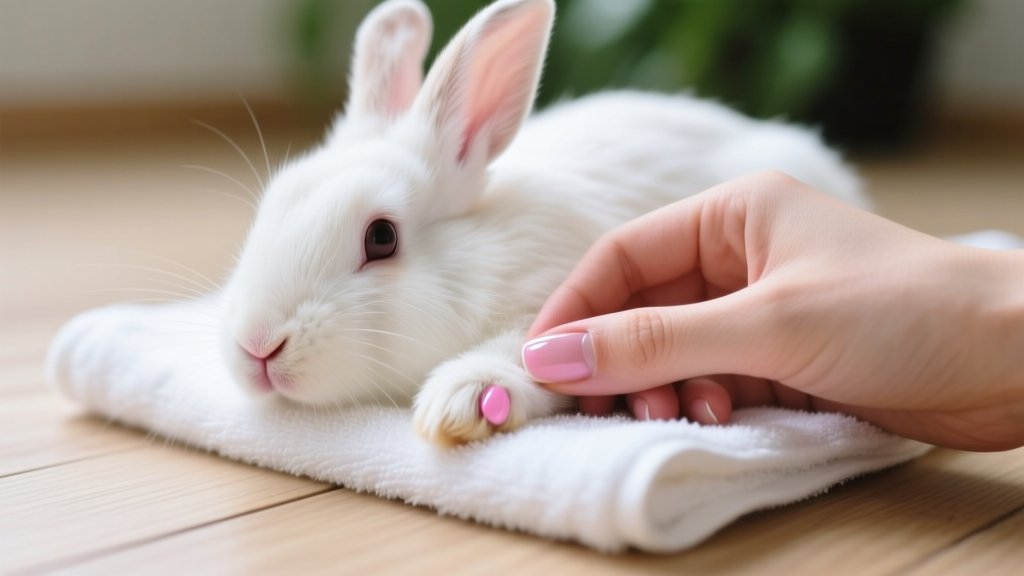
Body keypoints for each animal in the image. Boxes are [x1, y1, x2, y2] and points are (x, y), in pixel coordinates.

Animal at [219, 0, 867, 447]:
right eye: (270, 206)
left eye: (381, 237)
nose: (258, 346)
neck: (482, 250)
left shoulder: (556, 302)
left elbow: (520, 354)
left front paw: (461, 401)